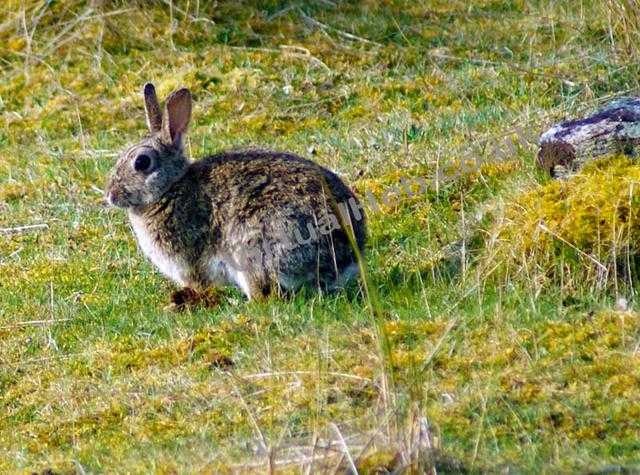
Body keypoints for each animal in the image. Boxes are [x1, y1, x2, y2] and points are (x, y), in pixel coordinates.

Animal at [105, 83, 366, 304]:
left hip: (258, 249)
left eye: (142, 162)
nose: (110, 195)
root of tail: (346, 260)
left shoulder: (190, 260)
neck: (170, 187)